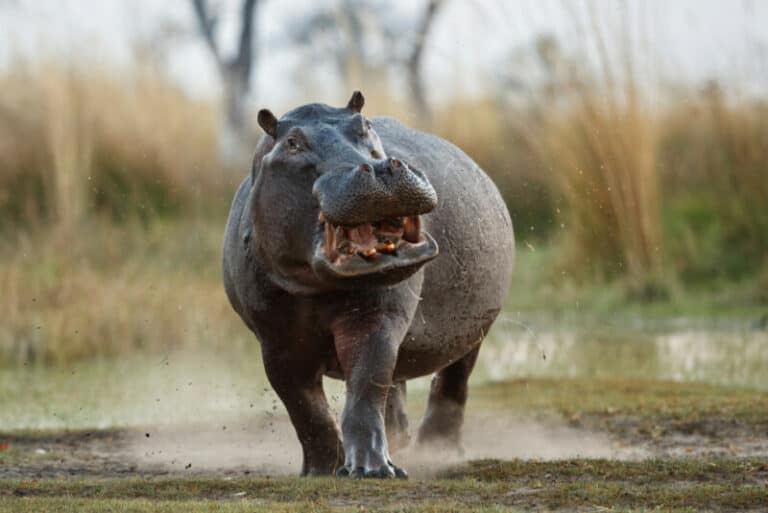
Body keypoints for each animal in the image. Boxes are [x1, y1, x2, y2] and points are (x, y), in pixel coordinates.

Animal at [222, 91, 514, 478]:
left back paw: (438, 450)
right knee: (400, 383)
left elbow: (367, 383)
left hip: (474, 328)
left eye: (366, 125)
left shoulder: (378, 317)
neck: (317, 288)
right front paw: (322, 469)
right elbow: (304, 407)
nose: (378, 169)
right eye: (293, 142)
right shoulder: (275, 341)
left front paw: (373, 470)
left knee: (453, 382)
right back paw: (401, 440)